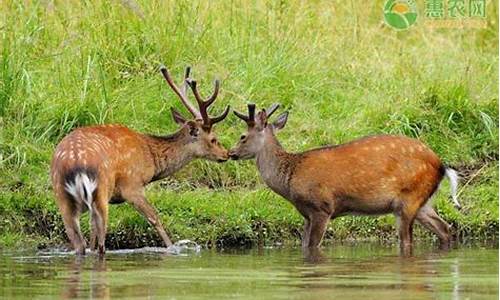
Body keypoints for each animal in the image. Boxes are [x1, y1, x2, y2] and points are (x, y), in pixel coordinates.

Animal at [50, 65, 230, 255]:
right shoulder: (132, 185)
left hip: (62, 196)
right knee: (101, 244)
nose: (226, 154)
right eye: (214, 139)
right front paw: (172, 248)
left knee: (80, 243)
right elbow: (154, 217)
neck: (150, 158)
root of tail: (75, 165)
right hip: (101, 190)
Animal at [229, 103, 458, 255]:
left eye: (242, 136)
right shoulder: (306, 214)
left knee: (408, 240)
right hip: (422, 202)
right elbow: (303, 244)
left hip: (409, 198)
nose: (231, 153)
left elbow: (313, 246)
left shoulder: (321, 207)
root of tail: (441, 165)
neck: (290, 179)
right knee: (445, 228)